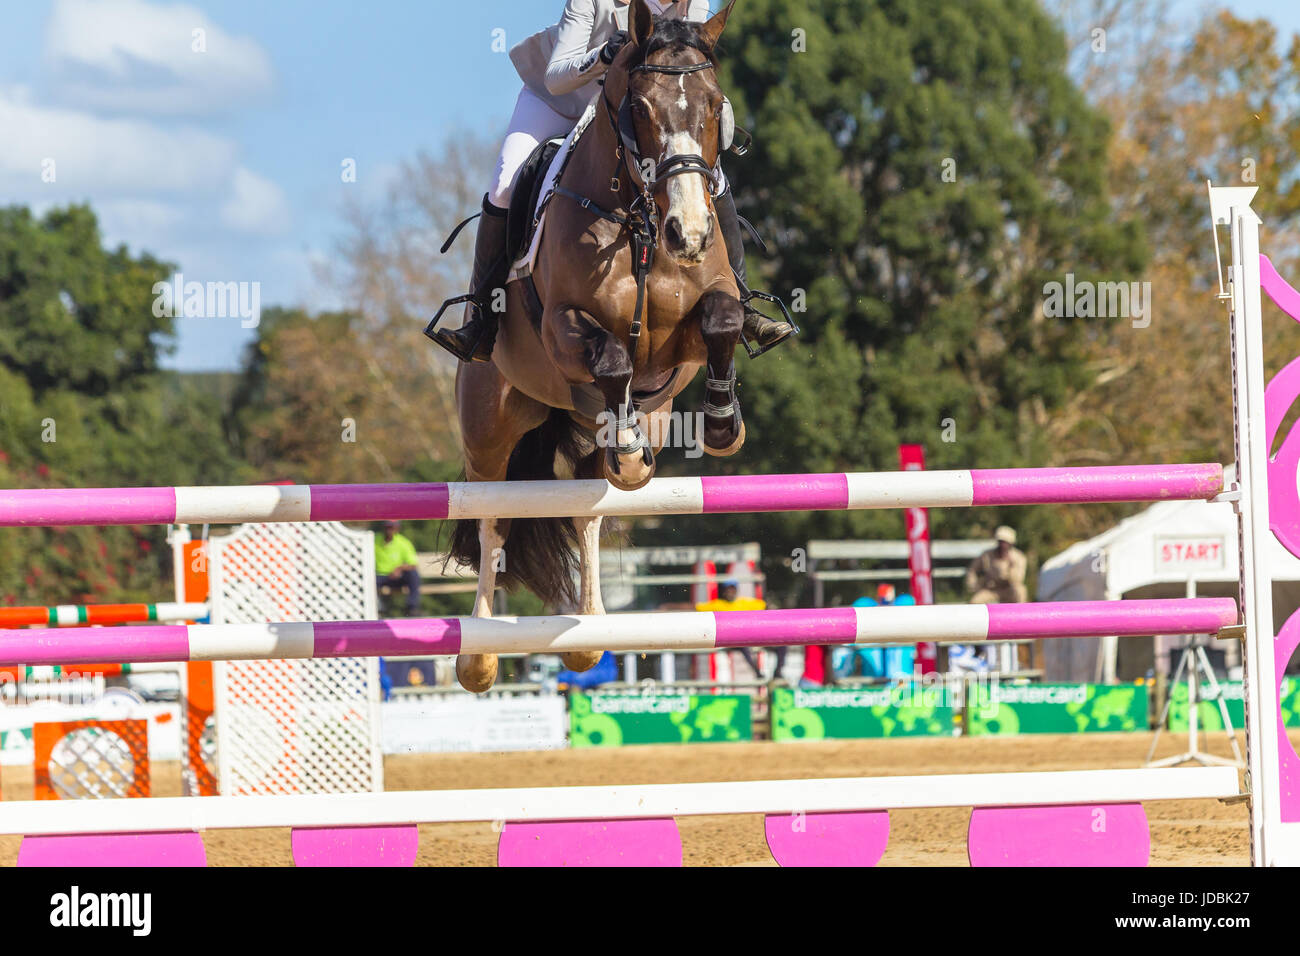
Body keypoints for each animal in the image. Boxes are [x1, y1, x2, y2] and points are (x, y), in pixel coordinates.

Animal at [448, 0, 747, 692]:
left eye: (714, 106)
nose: (689, 233)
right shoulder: (563, 327)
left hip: (605, 428)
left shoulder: (688, 336)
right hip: (489, 426)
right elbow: (610, 355)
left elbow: (722, 320)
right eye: (640, 108)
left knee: (587, 507)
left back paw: (588, 635)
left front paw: (723, 423)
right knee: (492, 518)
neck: (639, 217)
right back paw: (478, 656)